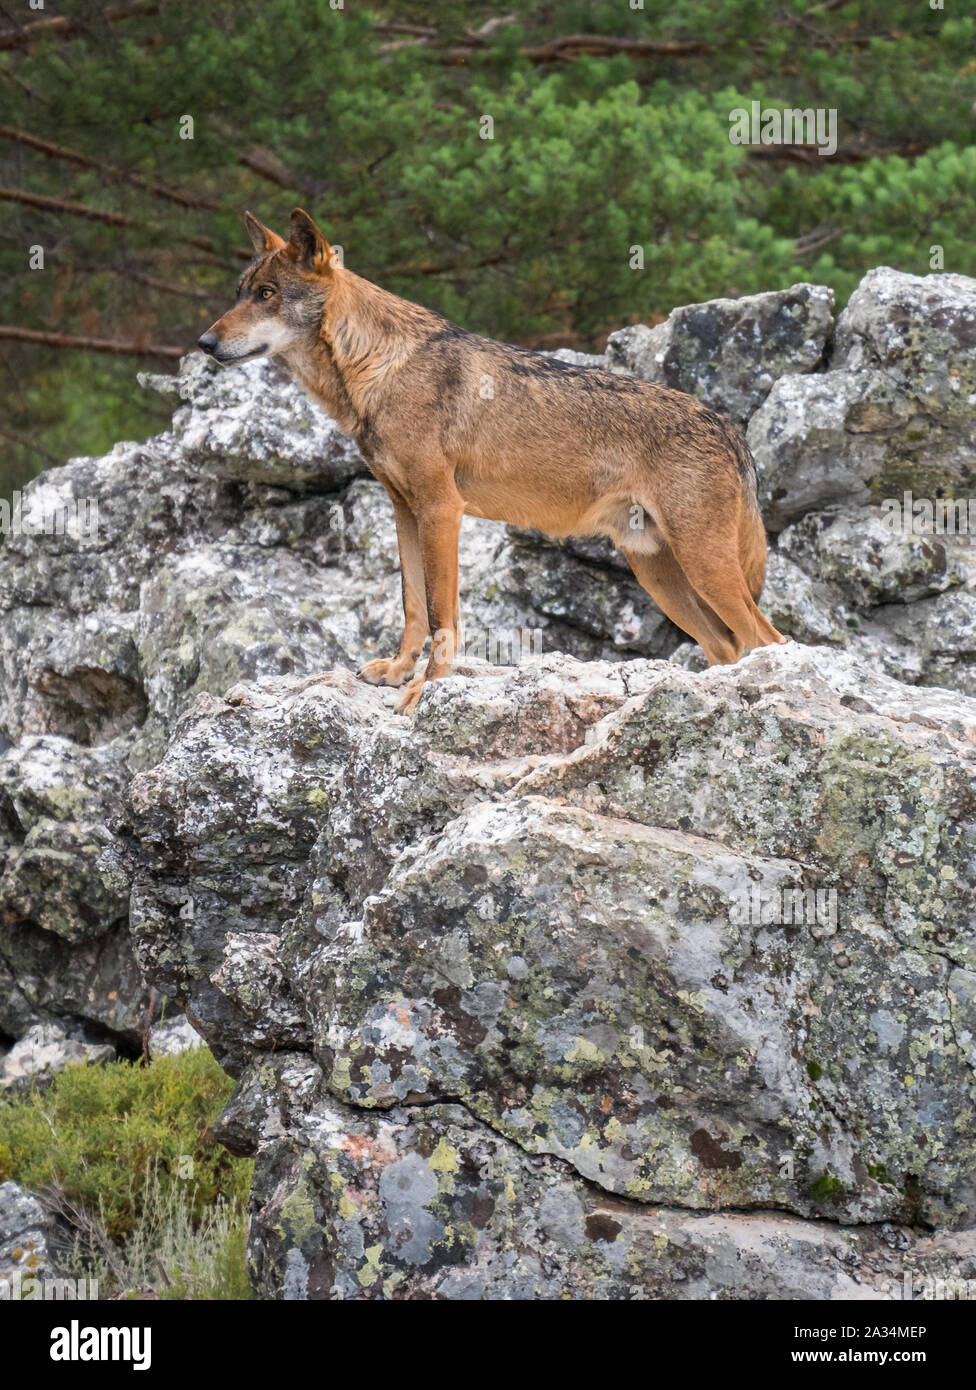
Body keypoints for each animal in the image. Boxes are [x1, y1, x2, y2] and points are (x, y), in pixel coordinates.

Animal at [199, 209, 785, 713]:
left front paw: (425, 690)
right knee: (728, 646)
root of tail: (728, 426)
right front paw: (398, 671)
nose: (205, 342)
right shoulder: (404, 510)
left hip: (702, 567)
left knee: (768, 639)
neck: (379, 369)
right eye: (239, 294)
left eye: (268, 294)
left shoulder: (441, 510)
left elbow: (441, 613)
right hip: (661, 576)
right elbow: (413, 606)